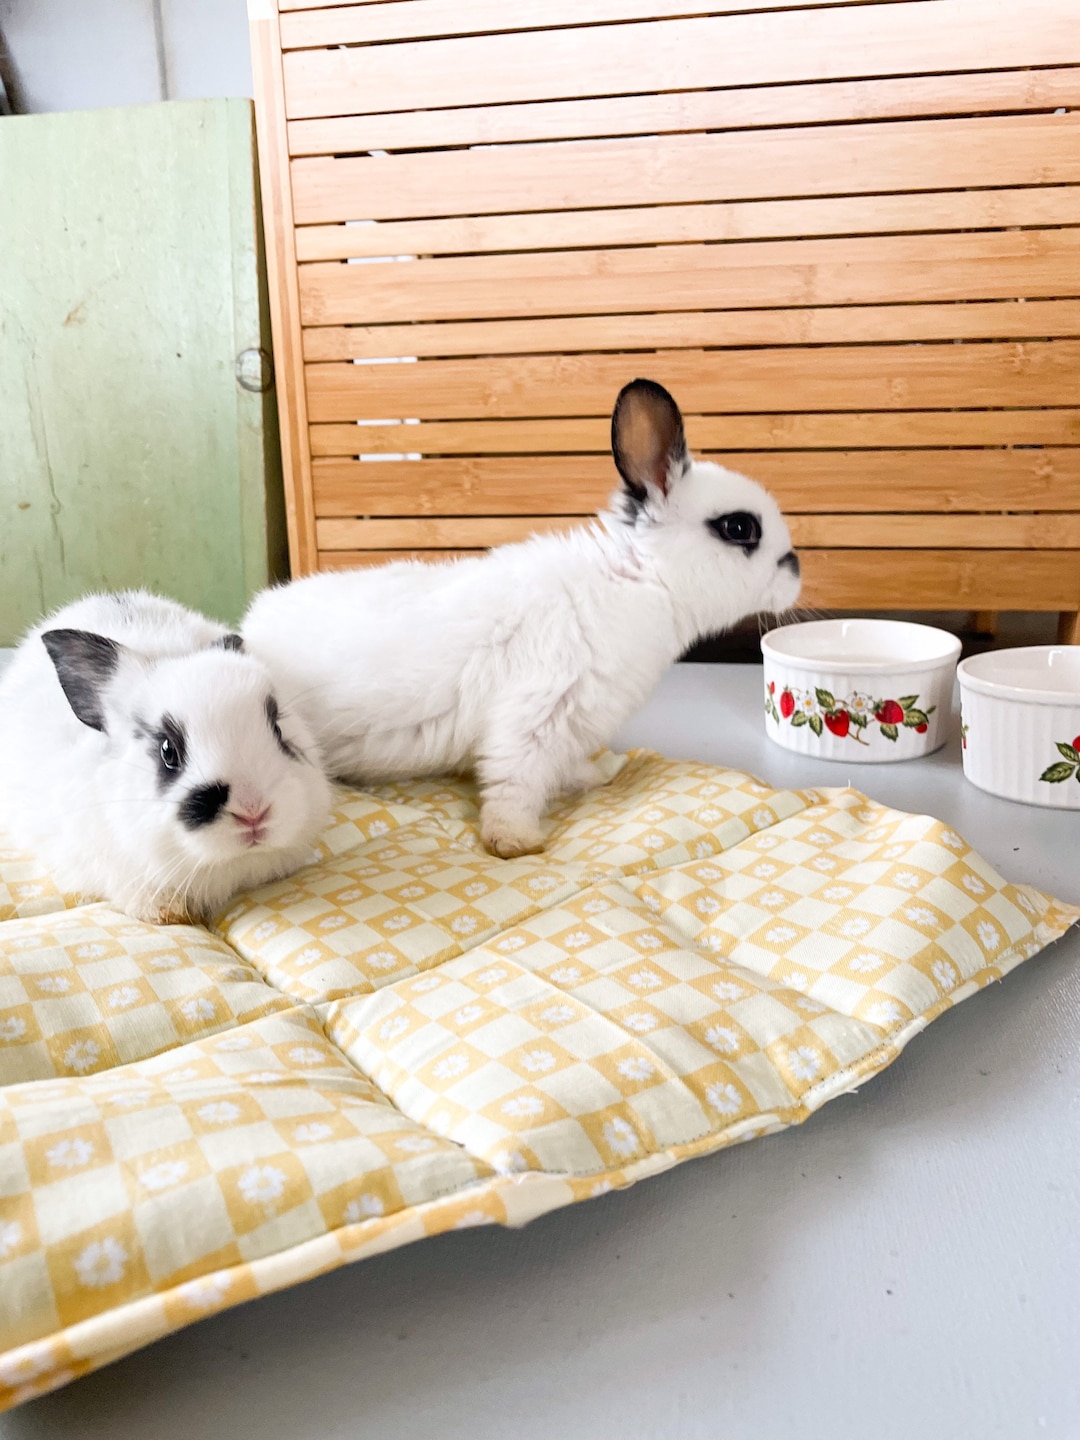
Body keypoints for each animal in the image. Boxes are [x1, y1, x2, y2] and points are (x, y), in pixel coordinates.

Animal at [243, 378, 802, 860]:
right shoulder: (536, 710)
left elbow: (564, 767)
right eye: (738, 528)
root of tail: (249, 627)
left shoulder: (569, 723)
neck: (639, 582)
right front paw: (516, 841)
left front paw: (602, 771)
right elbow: (516, 779)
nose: (795, 569)